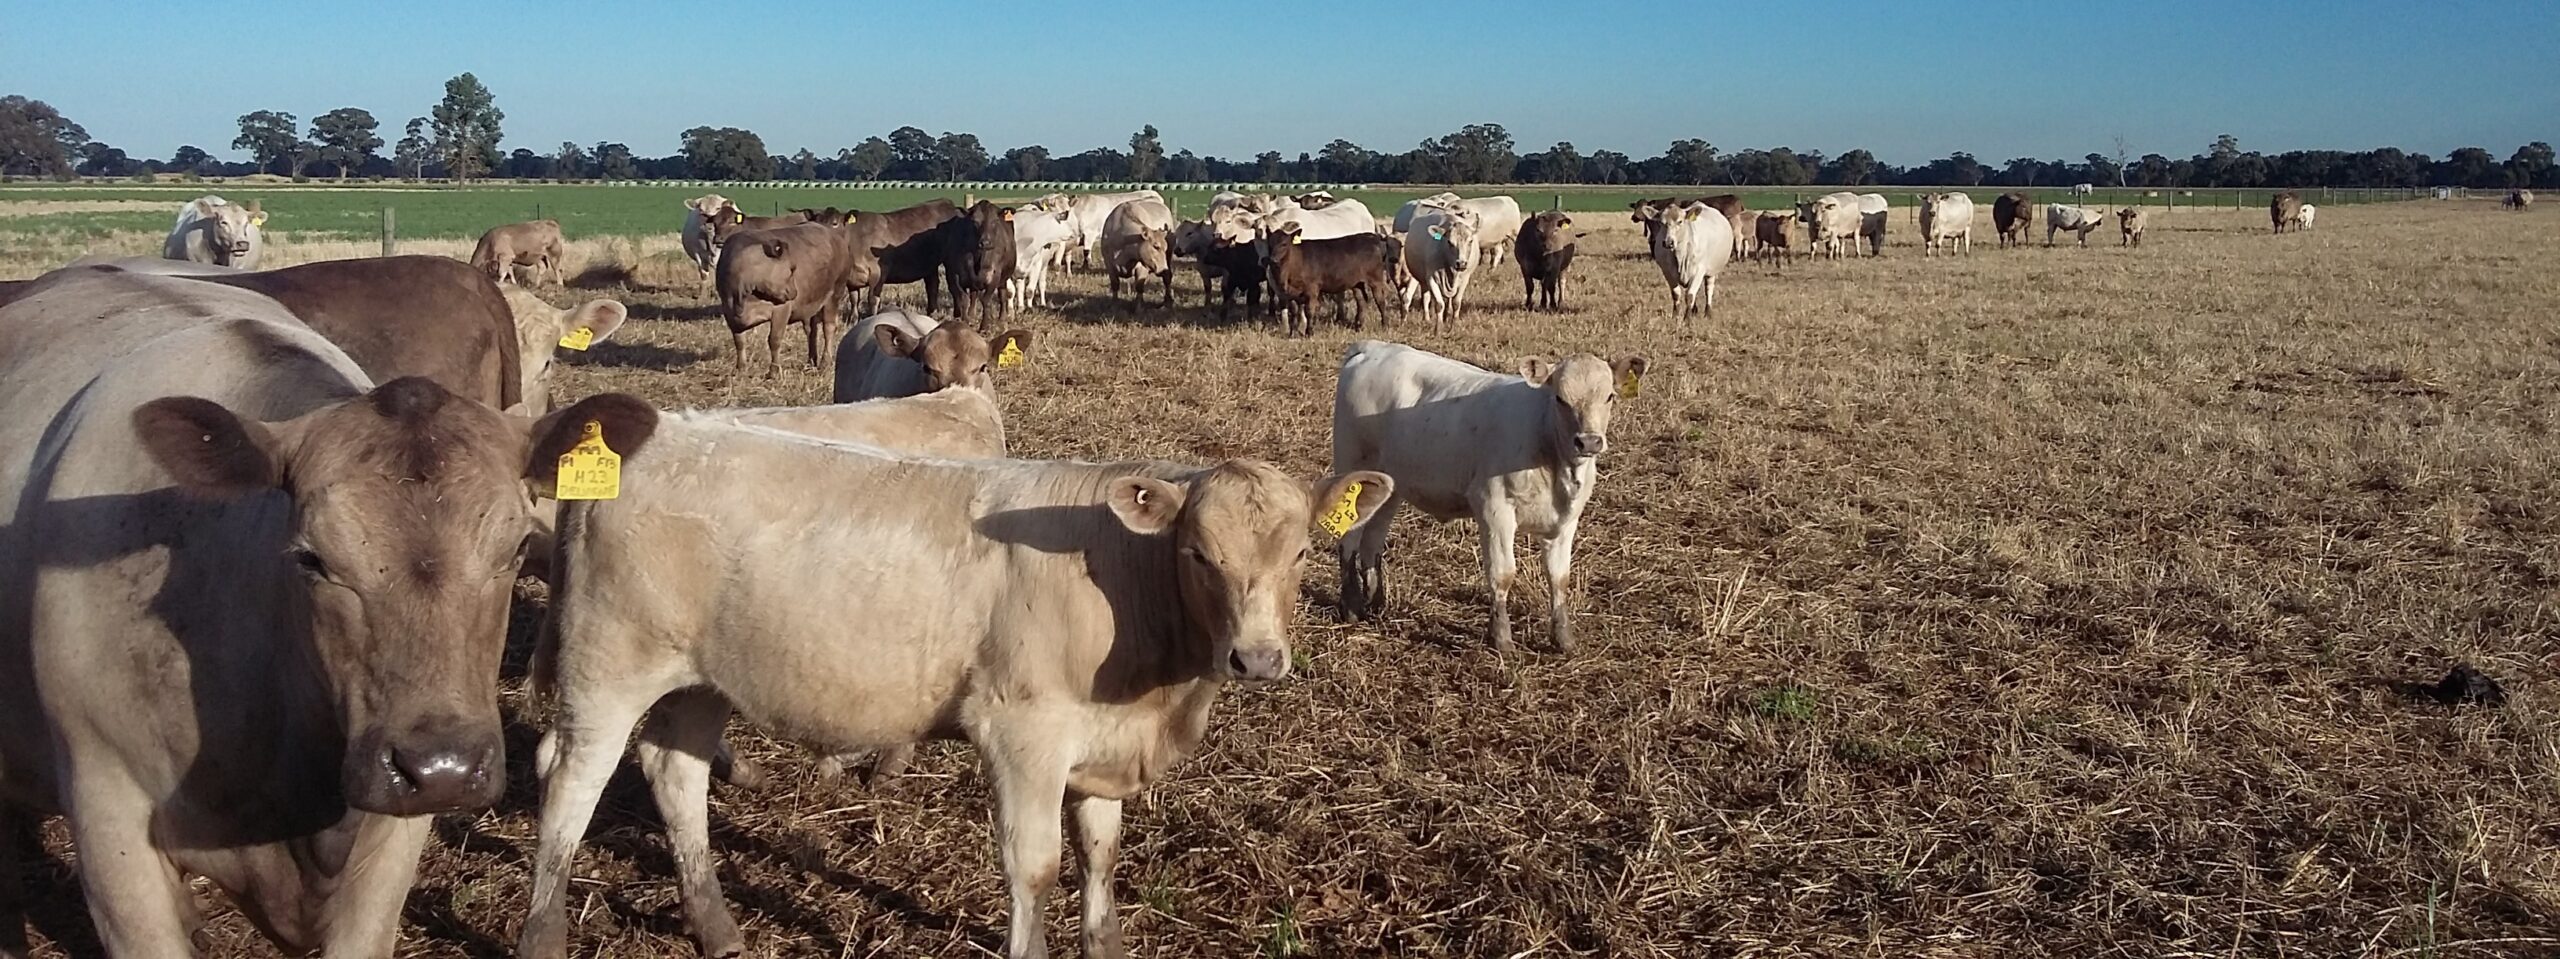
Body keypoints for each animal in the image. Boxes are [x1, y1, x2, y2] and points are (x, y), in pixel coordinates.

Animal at [515, 412, 1391, 959]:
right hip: (605, 667)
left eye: (1302, 554)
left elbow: (1101, 850)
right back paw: (543, 932)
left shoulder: (1101, 741)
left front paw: (1104, 940)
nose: (1258, 657)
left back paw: (716, 925)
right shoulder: (1025, 732)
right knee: (569, 787)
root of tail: (661, 432)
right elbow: (1034, 862)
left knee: (676, 773)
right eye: (1198, 553)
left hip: (701, 680)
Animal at [718, 221, 855, 375]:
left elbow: (774, 339)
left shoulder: (781, 308)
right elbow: (739, 340)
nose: (794, 293)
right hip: (811, 301)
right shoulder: (729, 311)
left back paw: (825, 363)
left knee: (829, 327)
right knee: (811, 331)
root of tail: (835, 236)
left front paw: (774, 371)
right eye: (791, 268)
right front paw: (741, 368)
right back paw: (811, 362)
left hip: (836, 291)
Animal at [1261, 225, 1395, 336]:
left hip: (1376, 279)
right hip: (1357, 282)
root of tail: (1373, 237)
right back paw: (1359, 326)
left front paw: (1309, 332)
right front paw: (1292, 333)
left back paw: (1385, 325)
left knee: (1380, 301)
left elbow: (1309, 310)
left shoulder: (1312, 288)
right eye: (1269, 244)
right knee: (1362, 300)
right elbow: (1294, 312)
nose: (1273, 260)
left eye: (1284, 244)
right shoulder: (1291, 292)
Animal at [1333, 339, 1642, 653]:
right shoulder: (1495, 509)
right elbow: (1502, 574)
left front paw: (1564, 639)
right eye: (1559, 398)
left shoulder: (1566, 521)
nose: (1588, 441)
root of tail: (1373, 347)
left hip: (1391, 485)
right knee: (1349, 538)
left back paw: (1377, 603)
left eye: (1609, 396)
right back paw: (1352, 606)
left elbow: (1559, 578)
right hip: (1352, 468)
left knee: (1373, 540)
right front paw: (1502, 638)